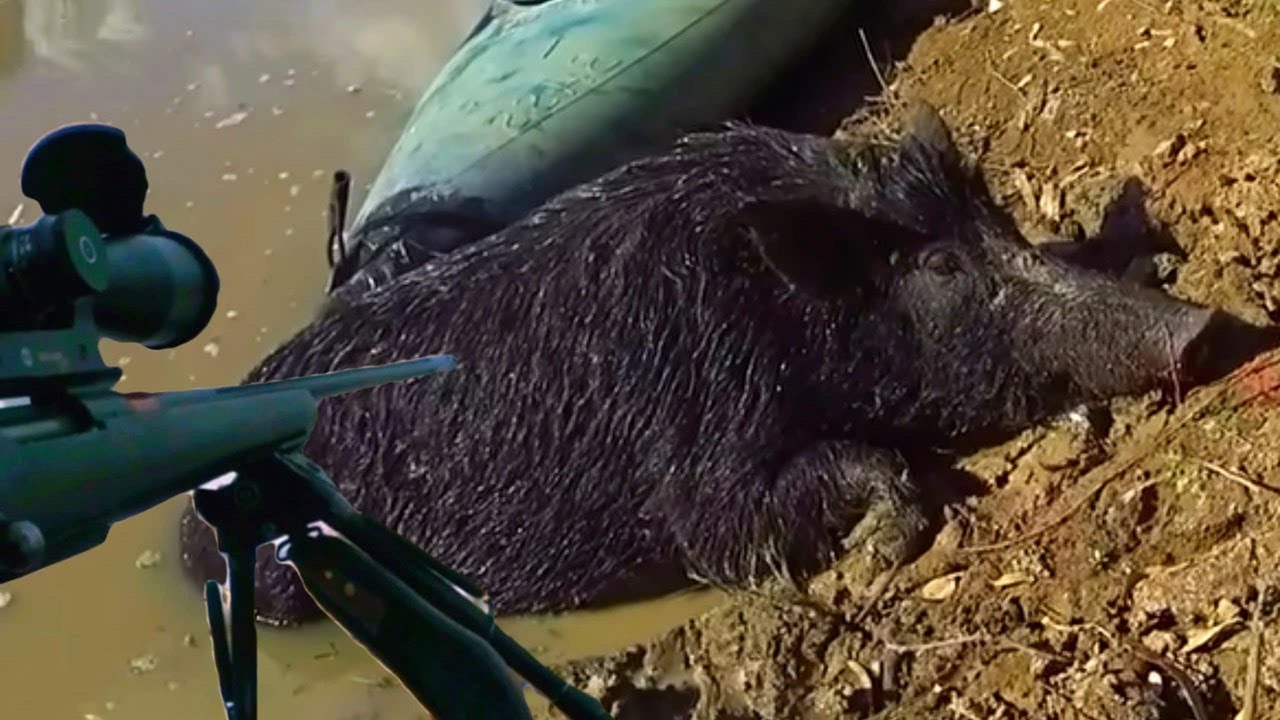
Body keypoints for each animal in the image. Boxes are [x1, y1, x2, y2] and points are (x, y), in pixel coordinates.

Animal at [179, 103, 1262, 627]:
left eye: (997, 224)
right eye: (942, 267)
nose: (1201, 326)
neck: (769, 310)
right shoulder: (701, 474)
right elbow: (768, 510)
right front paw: (879, 557)